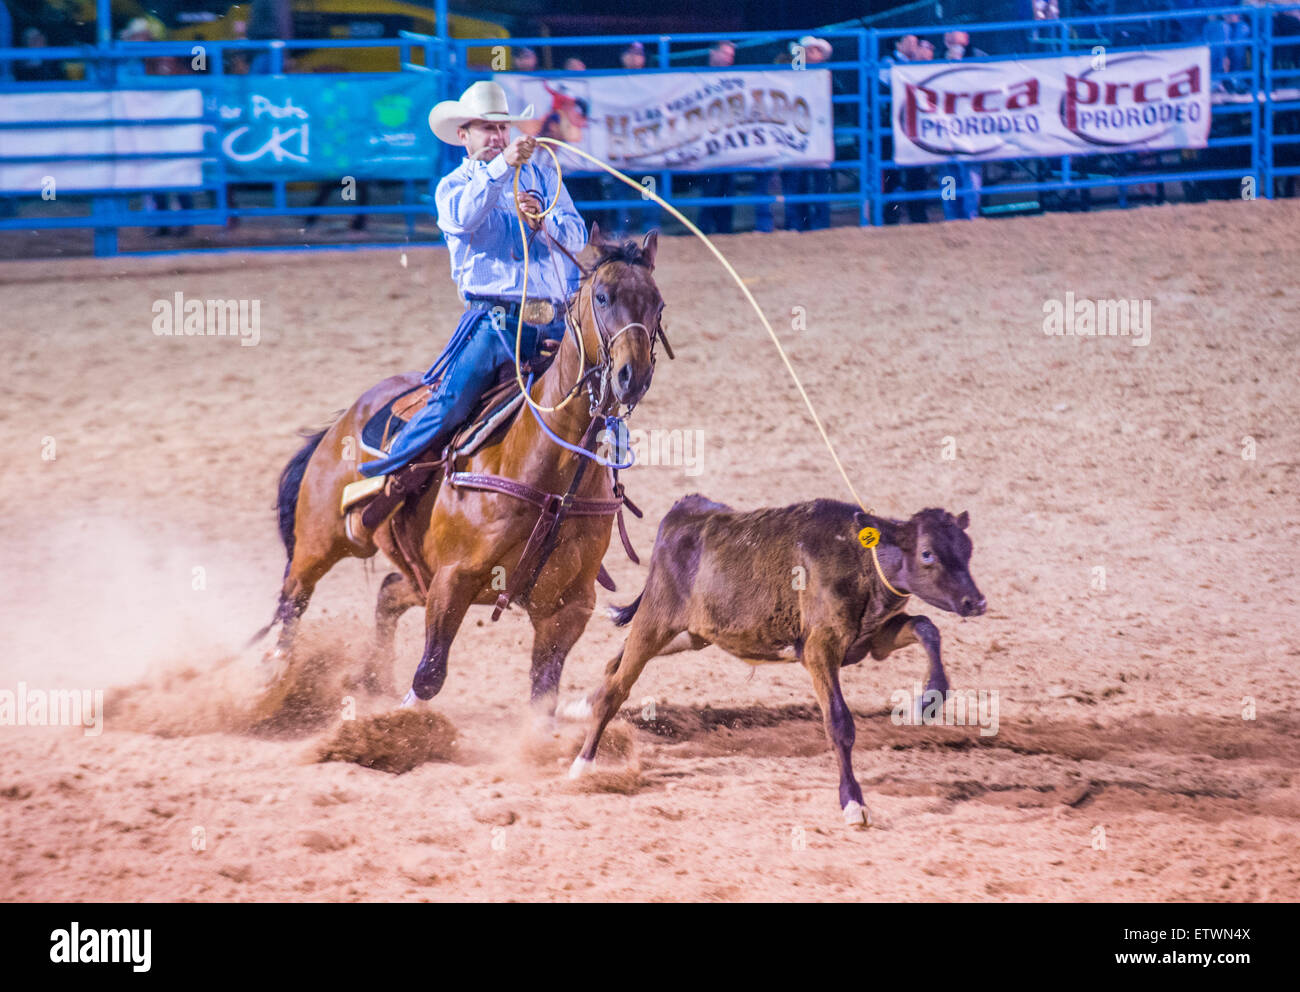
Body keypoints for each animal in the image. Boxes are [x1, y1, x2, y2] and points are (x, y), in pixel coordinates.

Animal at [563, 495, 986, 825]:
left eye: (968, 550)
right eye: (928, 553)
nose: (976, 602)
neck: (858, 560)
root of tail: (686, 510)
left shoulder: (875, 638)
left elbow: (927, 628)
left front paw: (928, 700)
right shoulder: (819, 649)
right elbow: (839, 723)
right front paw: (853, 803)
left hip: (691, 633)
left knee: (614, 665)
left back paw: (579, 706)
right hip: (655, 620)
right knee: (617, 688)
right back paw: (582, 764)